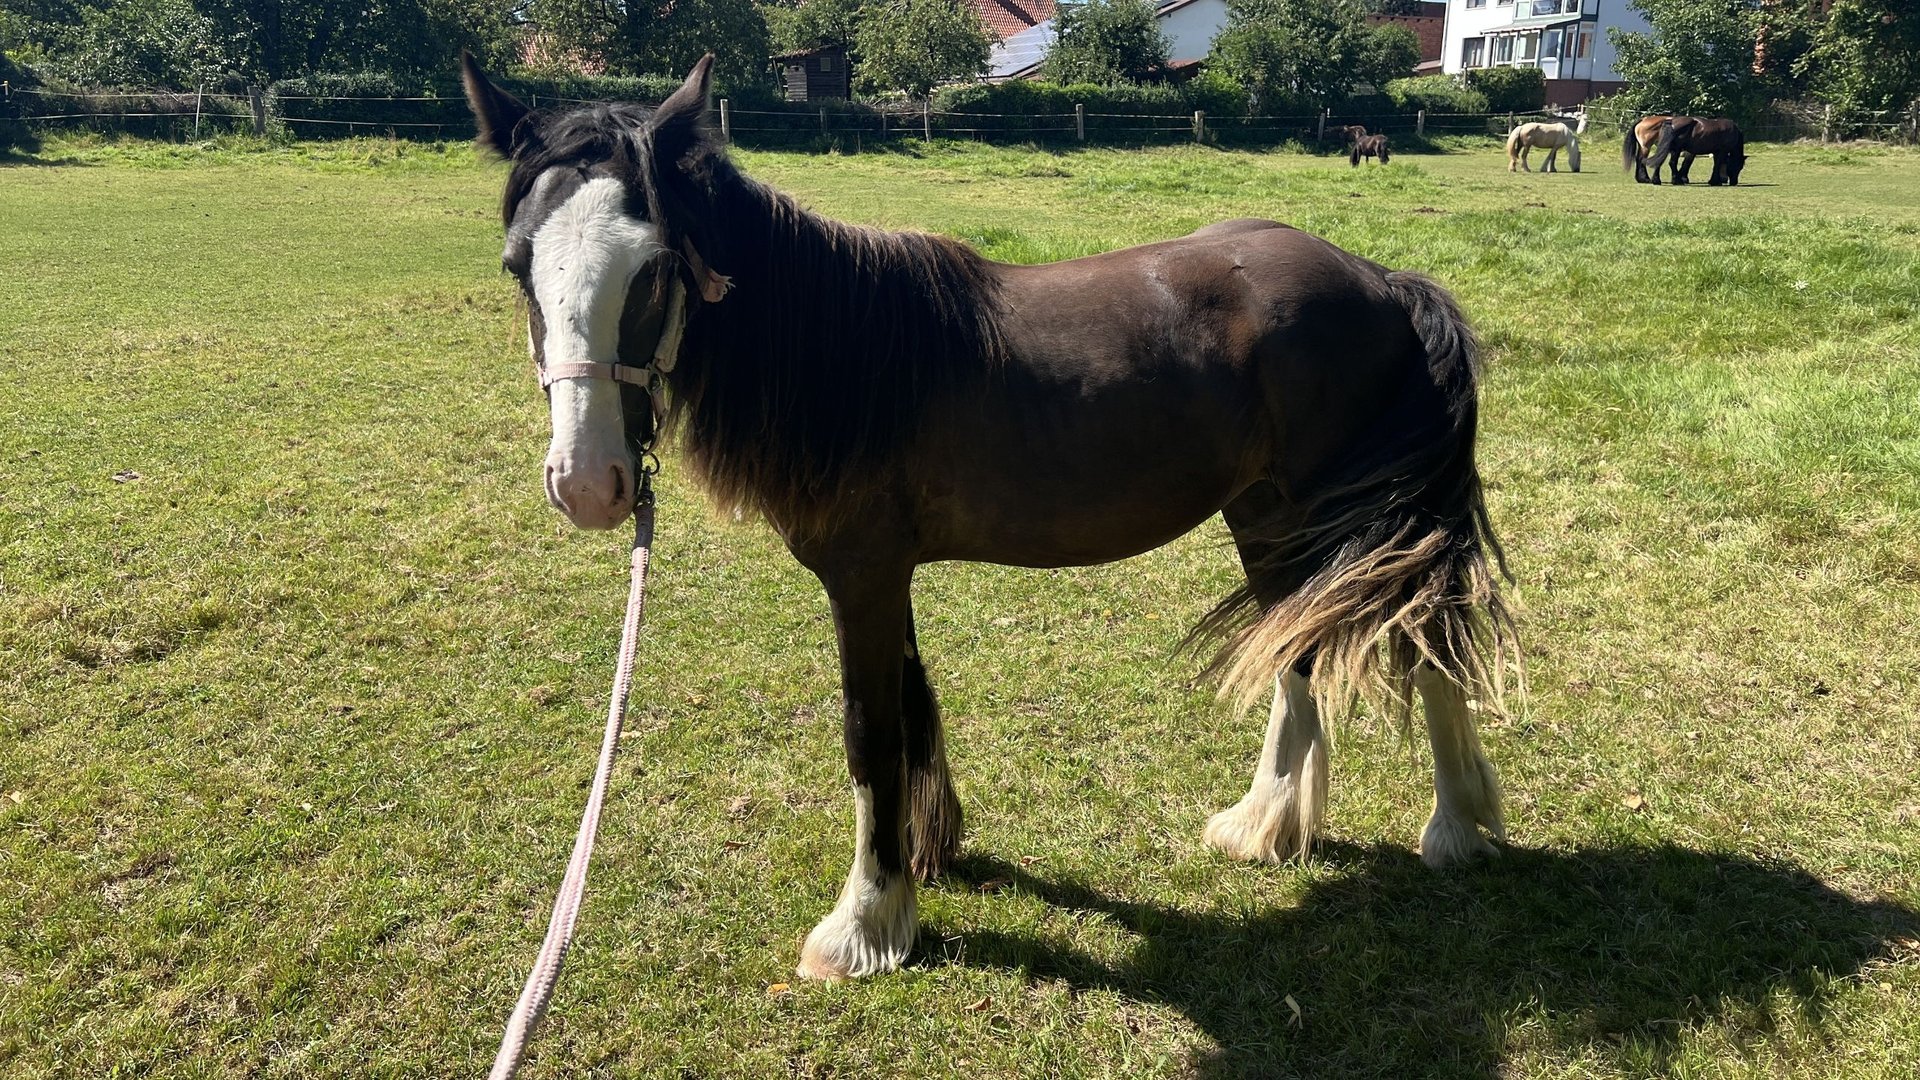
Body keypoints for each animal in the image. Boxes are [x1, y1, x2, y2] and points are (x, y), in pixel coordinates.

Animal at [462, 53, 1517, 981]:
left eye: (651, 269)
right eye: (518, 265)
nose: (586, 483)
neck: (847, 352)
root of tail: (1384, 284)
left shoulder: (863, 576)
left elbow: (871, 733)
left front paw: (864, 925)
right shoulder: (886, 577)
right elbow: (909, 707)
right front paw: (924, 864)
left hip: (1358, 525)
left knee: (1422, 641)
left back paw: (1457, 828)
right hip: (1269, 518)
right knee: (1295, 647)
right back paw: (1266, 828)